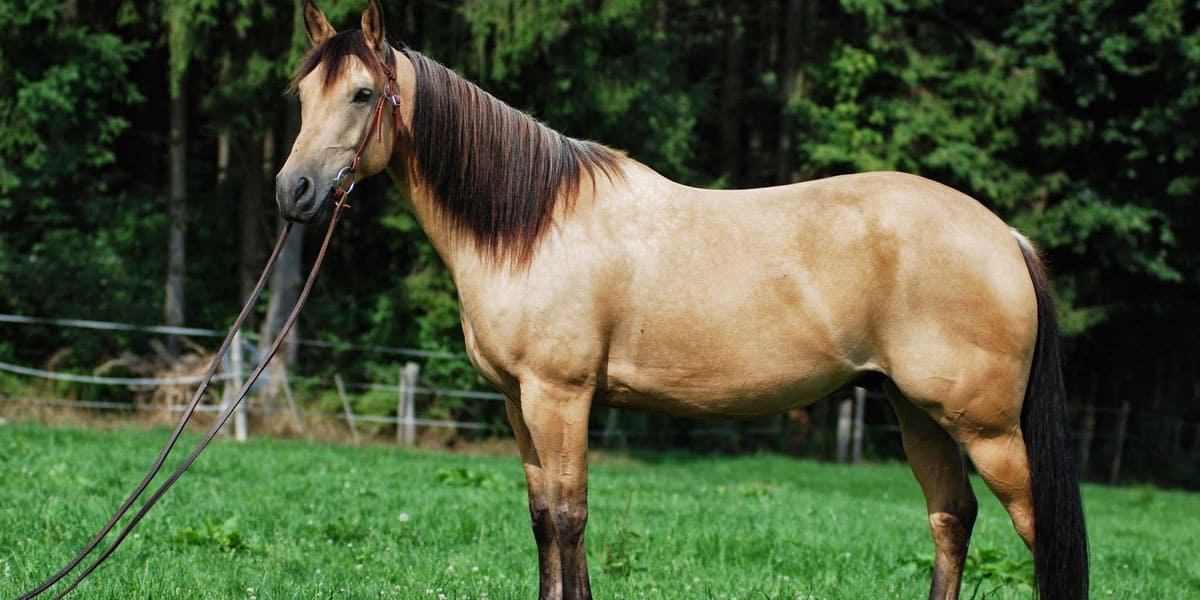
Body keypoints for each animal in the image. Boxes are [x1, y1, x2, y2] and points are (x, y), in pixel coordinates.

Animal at [276, 2, 1088, 598]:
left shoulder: (560, 397)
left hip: (988, 428)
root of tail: (1005, 235)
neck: (533, 226)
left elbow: (569, 518)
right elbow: (541, 519)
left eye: (363, 94)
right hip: (916, 411)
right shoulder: (516, 401)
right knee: (952, 517)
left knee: (1036, 528)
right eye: (301, 94)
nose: (294, 192)